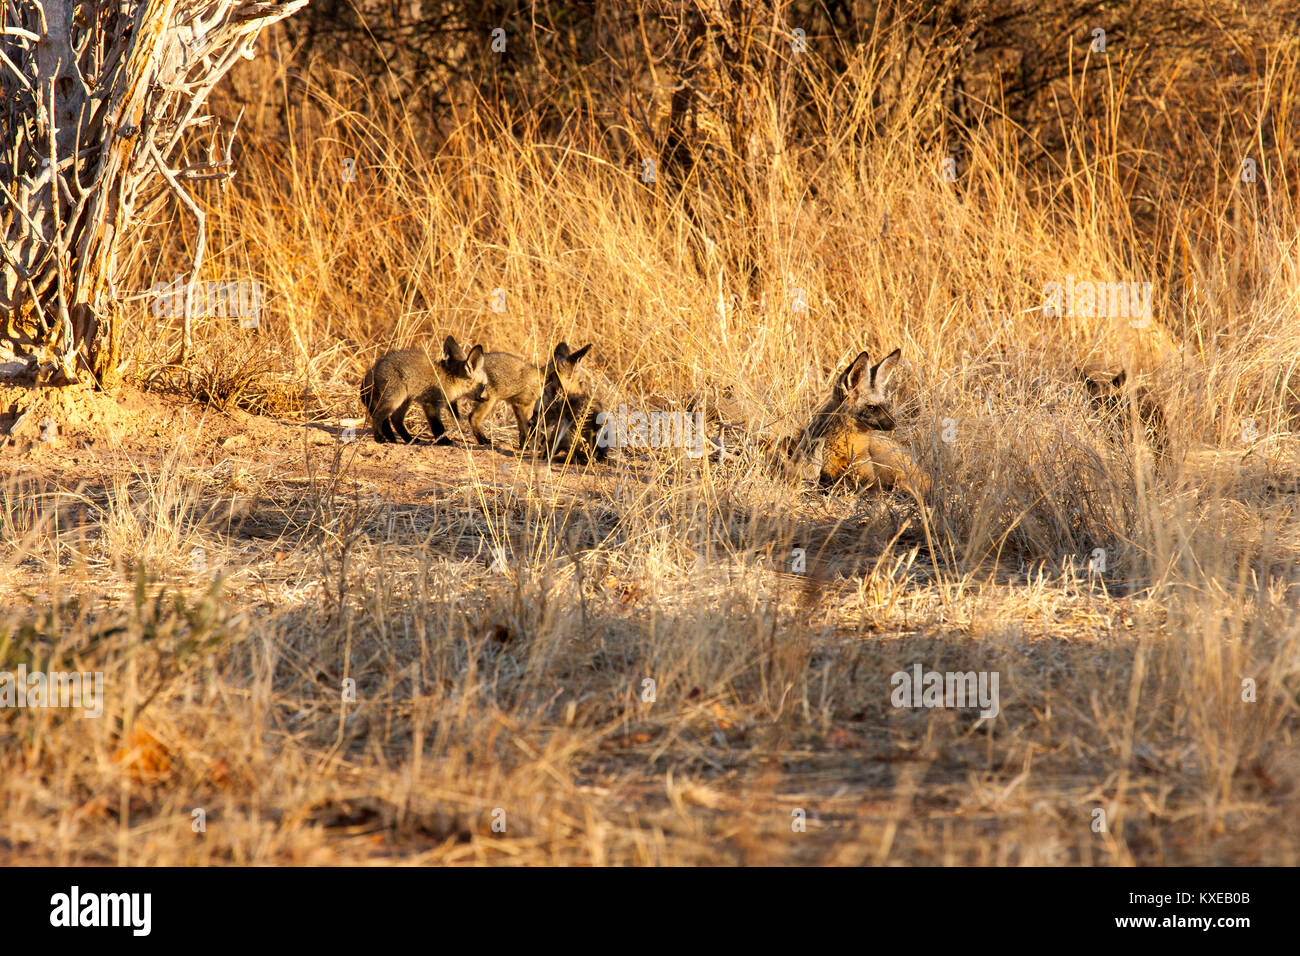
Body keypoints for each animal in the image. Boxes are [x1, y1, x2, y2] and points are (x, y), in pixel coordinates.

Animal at [793, 347, 930, 499]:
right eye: (871, 407)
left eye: (885, 406)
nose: (894, 424)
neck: (848, 449)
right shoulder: (826, 476)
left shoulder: (869, 477)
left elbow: (873, 488)